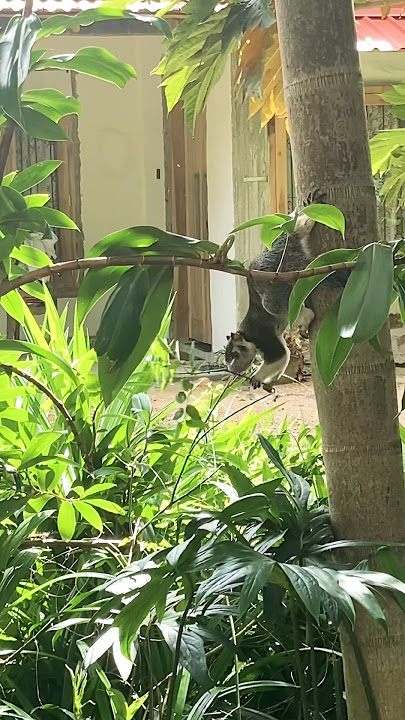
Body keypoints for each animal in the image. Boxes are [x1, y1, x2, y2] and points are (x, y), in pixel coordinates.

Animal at [225, 191, 344, 389]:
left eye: (234, 354)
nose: (232, 369)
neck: (248, 337)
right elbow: (286, 356)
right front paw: (271, 381)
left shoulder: (263, 336)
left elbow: (279, 356)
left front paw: (257, 378)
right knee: (301, 225)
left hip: (280, 280)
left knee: (282, 306)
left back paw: (306, 319)